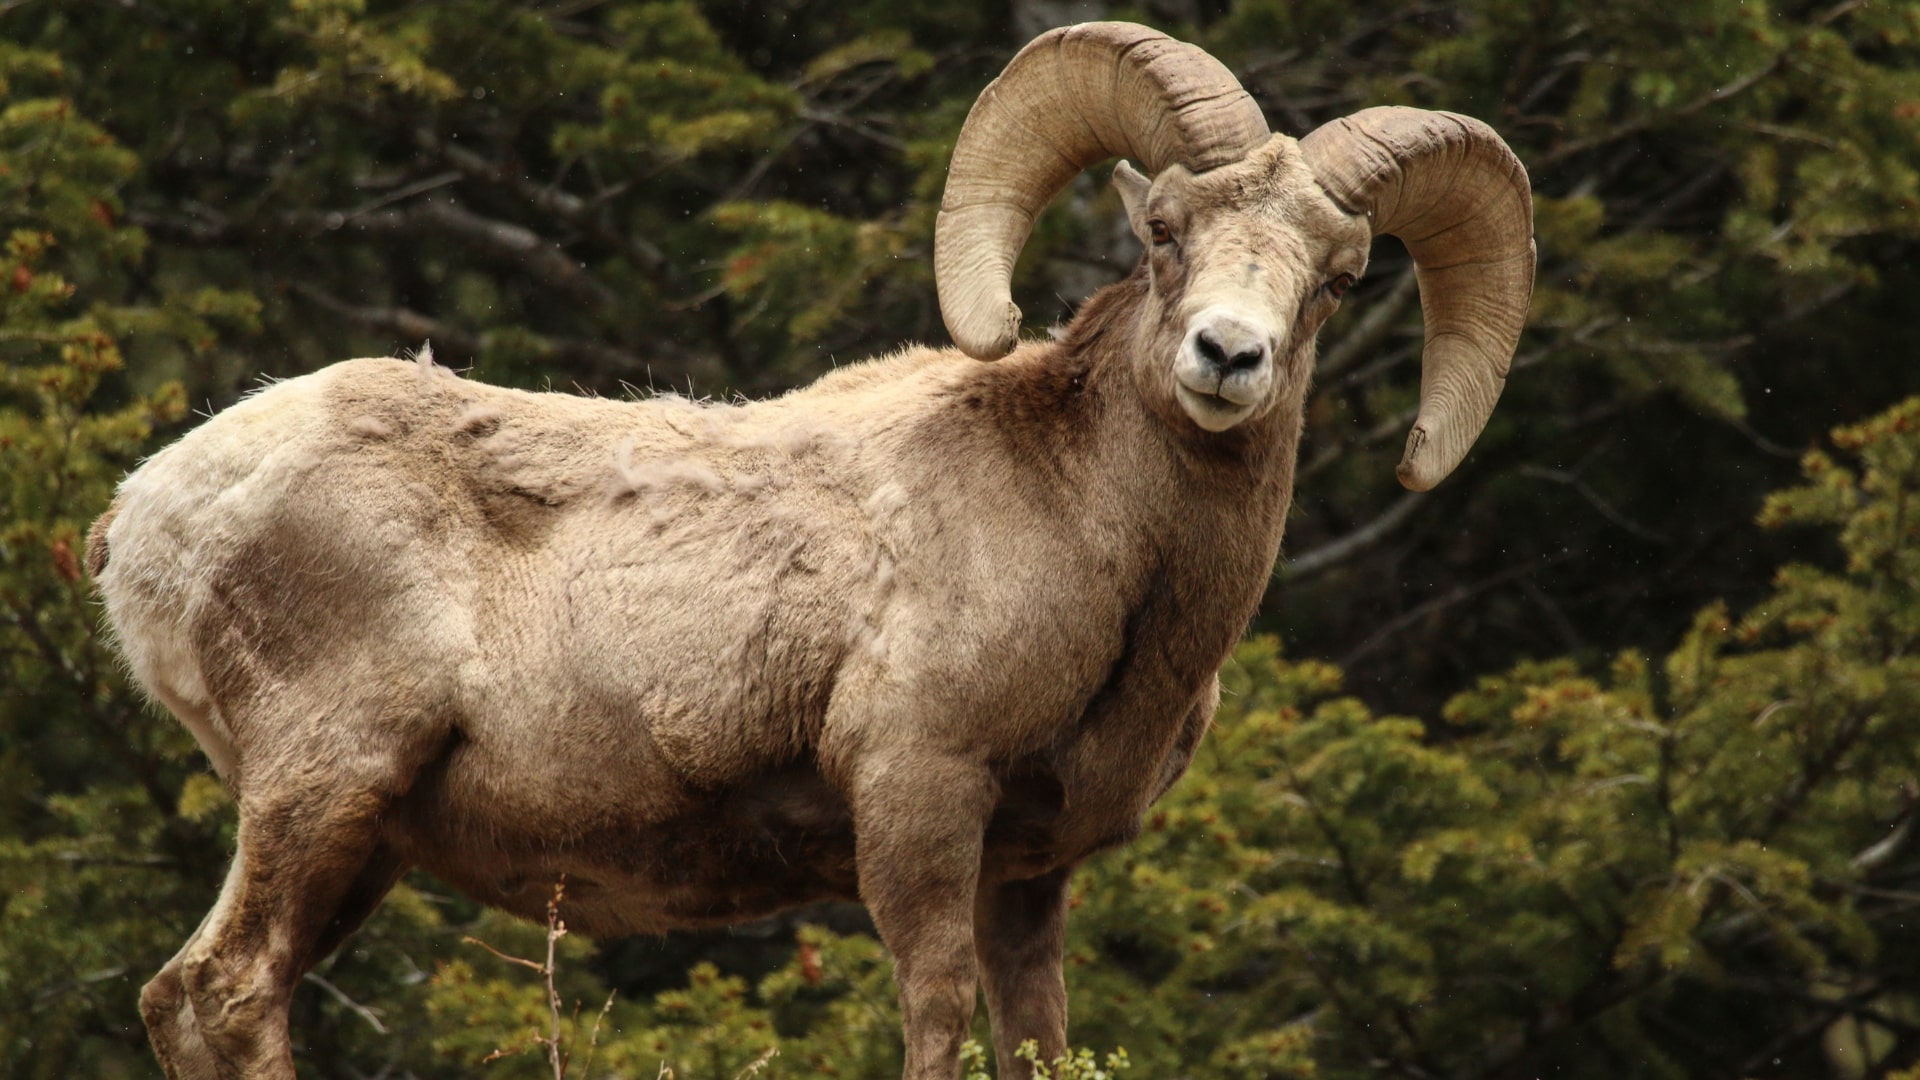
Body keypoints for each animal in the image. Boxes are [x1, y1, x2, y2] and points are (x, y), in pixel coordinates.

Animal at [90, 22, 1533, 1080]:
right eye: (1165, 232)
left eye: (1338, 275)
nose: (1228, 358)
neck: (1089, 544)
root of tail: (143, 519)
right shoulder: (917, 802)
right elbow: (935, 1018)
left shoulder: (1031, 878)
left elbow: (1036, 1042)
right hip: (325, 786)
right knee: (225, 992)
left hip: (366, 837)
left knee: (197, 999)